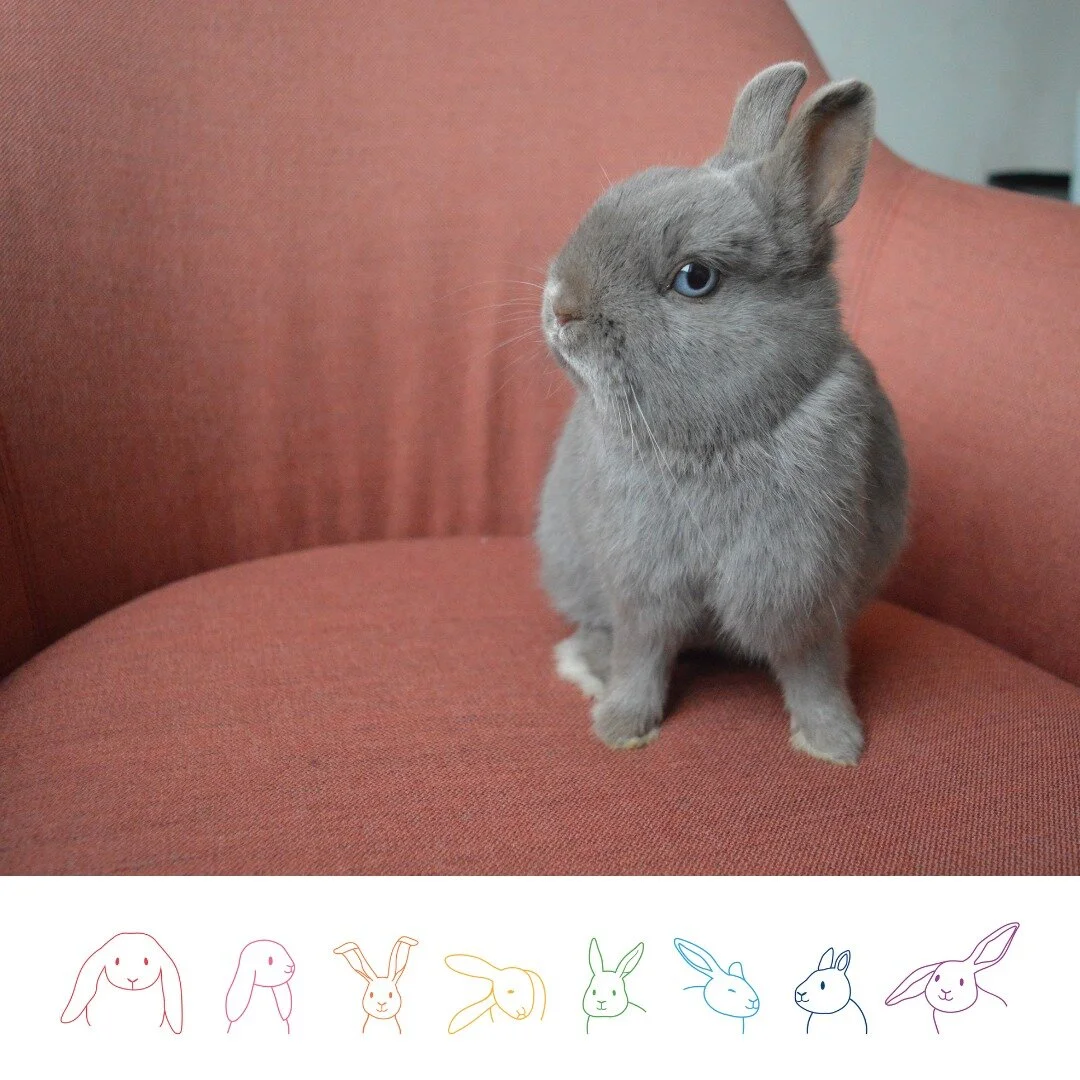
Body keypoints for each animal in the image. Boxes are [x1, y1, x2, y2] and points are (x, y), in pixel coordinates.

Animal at [535, 60, 908, 764]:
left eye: (695, 278)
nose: (560, 307)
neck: (722, 439)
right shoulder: (642, 587)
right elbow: (641, 658)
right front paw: (621, 729)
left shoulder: (806, 590)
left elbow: (814, 671)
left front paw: (836, 745)